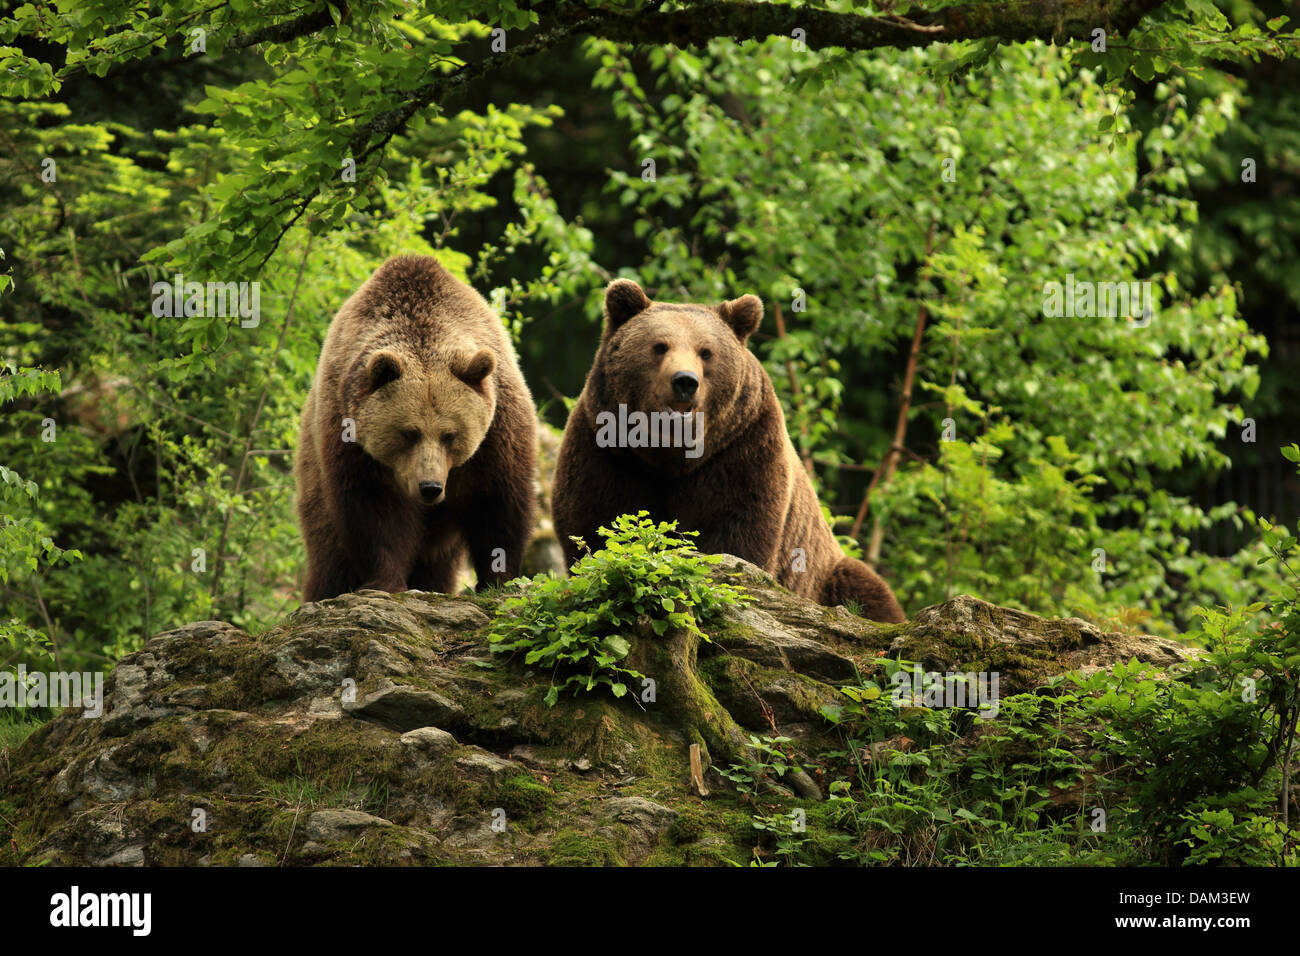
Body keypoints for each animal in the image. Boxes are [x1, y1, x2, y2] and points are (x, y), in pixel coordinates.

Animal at [295, 254, 537, 603]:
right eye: (408, 433)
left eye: (450, 435)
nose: (430, 487)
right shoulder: (350, 435)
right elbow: (375, 512)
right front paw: (385, 582)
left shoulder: (498, 429)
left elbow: (498, 502)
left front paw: (500, 579)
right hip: (315, 489)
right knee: (329, 555)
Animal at [551, 279, 905, 623]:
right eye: (659, 346)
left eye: (706, 352)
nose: (684, 381)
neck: (668, 453)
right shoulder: (608, 450)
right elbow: (597, 522)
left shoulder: (741, 447)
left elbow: (738, 532)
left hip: (824, 572)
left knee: (864, 589)